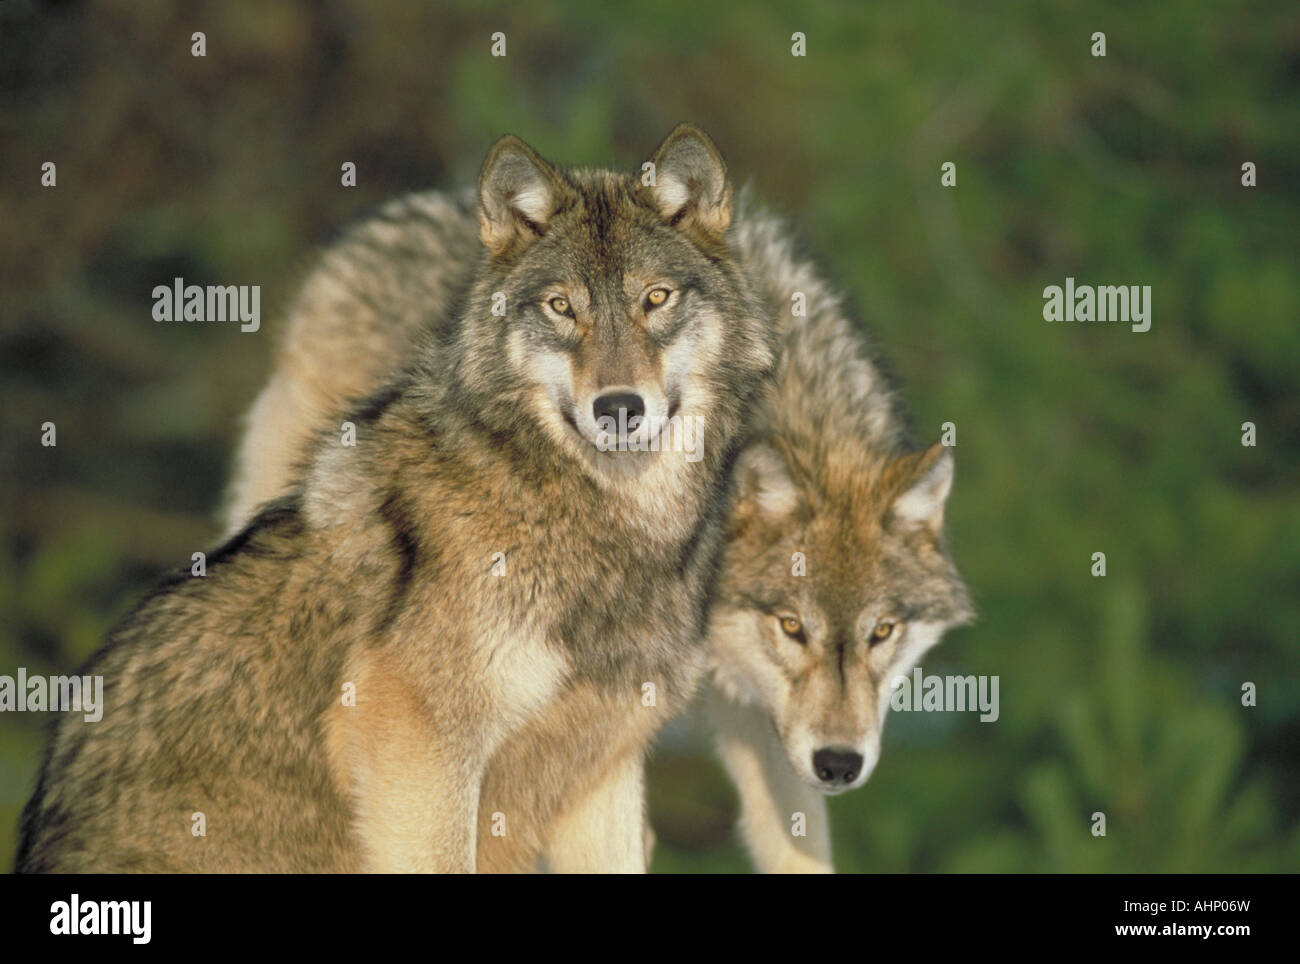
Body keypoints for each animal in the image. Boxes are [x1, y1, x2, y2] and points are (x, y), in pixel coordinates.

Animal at [15, 125, 778, 873]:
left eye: (657, 298)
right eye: (562, 307)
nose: (618, 407)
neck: (586, 517)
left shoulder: (604, 767)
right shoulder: (419, 735)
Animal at [219, 175, 974, 872]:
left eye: (883, 632)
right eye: (792, 627)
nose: (840, 764)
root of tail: (356, 243)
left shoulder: (752, 712)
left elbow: (796, 846)